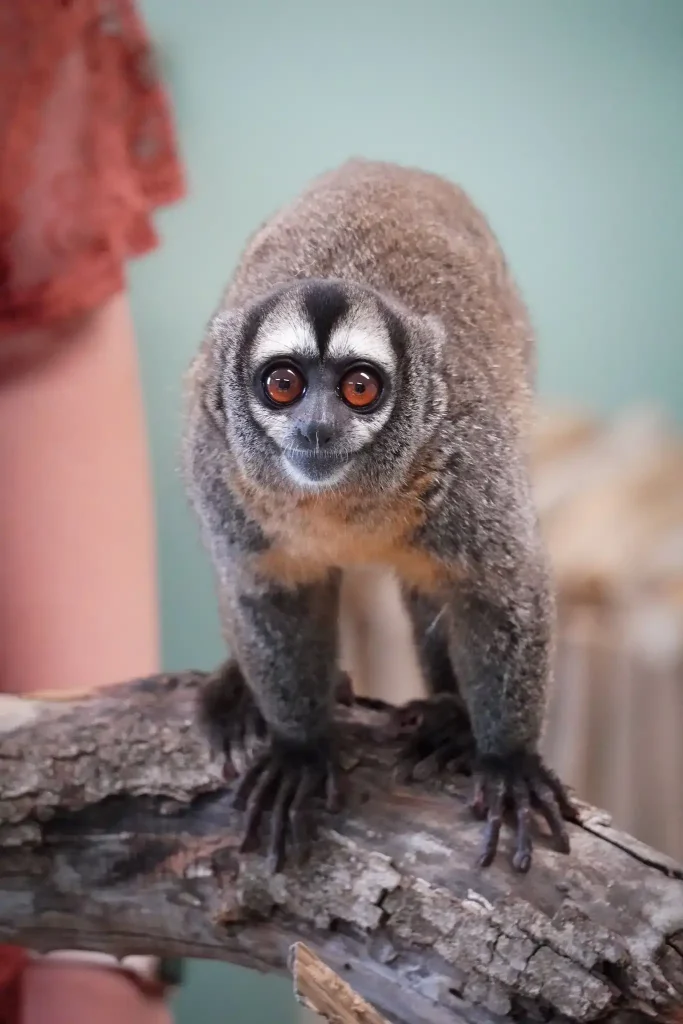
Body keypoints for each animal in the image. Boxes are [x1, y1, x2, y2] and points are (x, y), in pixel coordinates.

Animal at [181, 158, 578, 874]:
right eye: (282, 384)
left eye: (359, 388)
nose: (316, 427)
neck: (344, 497)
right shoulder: (217, 462)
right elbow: (267, 589)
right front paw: (299, 748)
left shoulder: (467, 461)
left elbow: (501, 587)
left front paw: (507, 760)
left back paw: (451, 722)